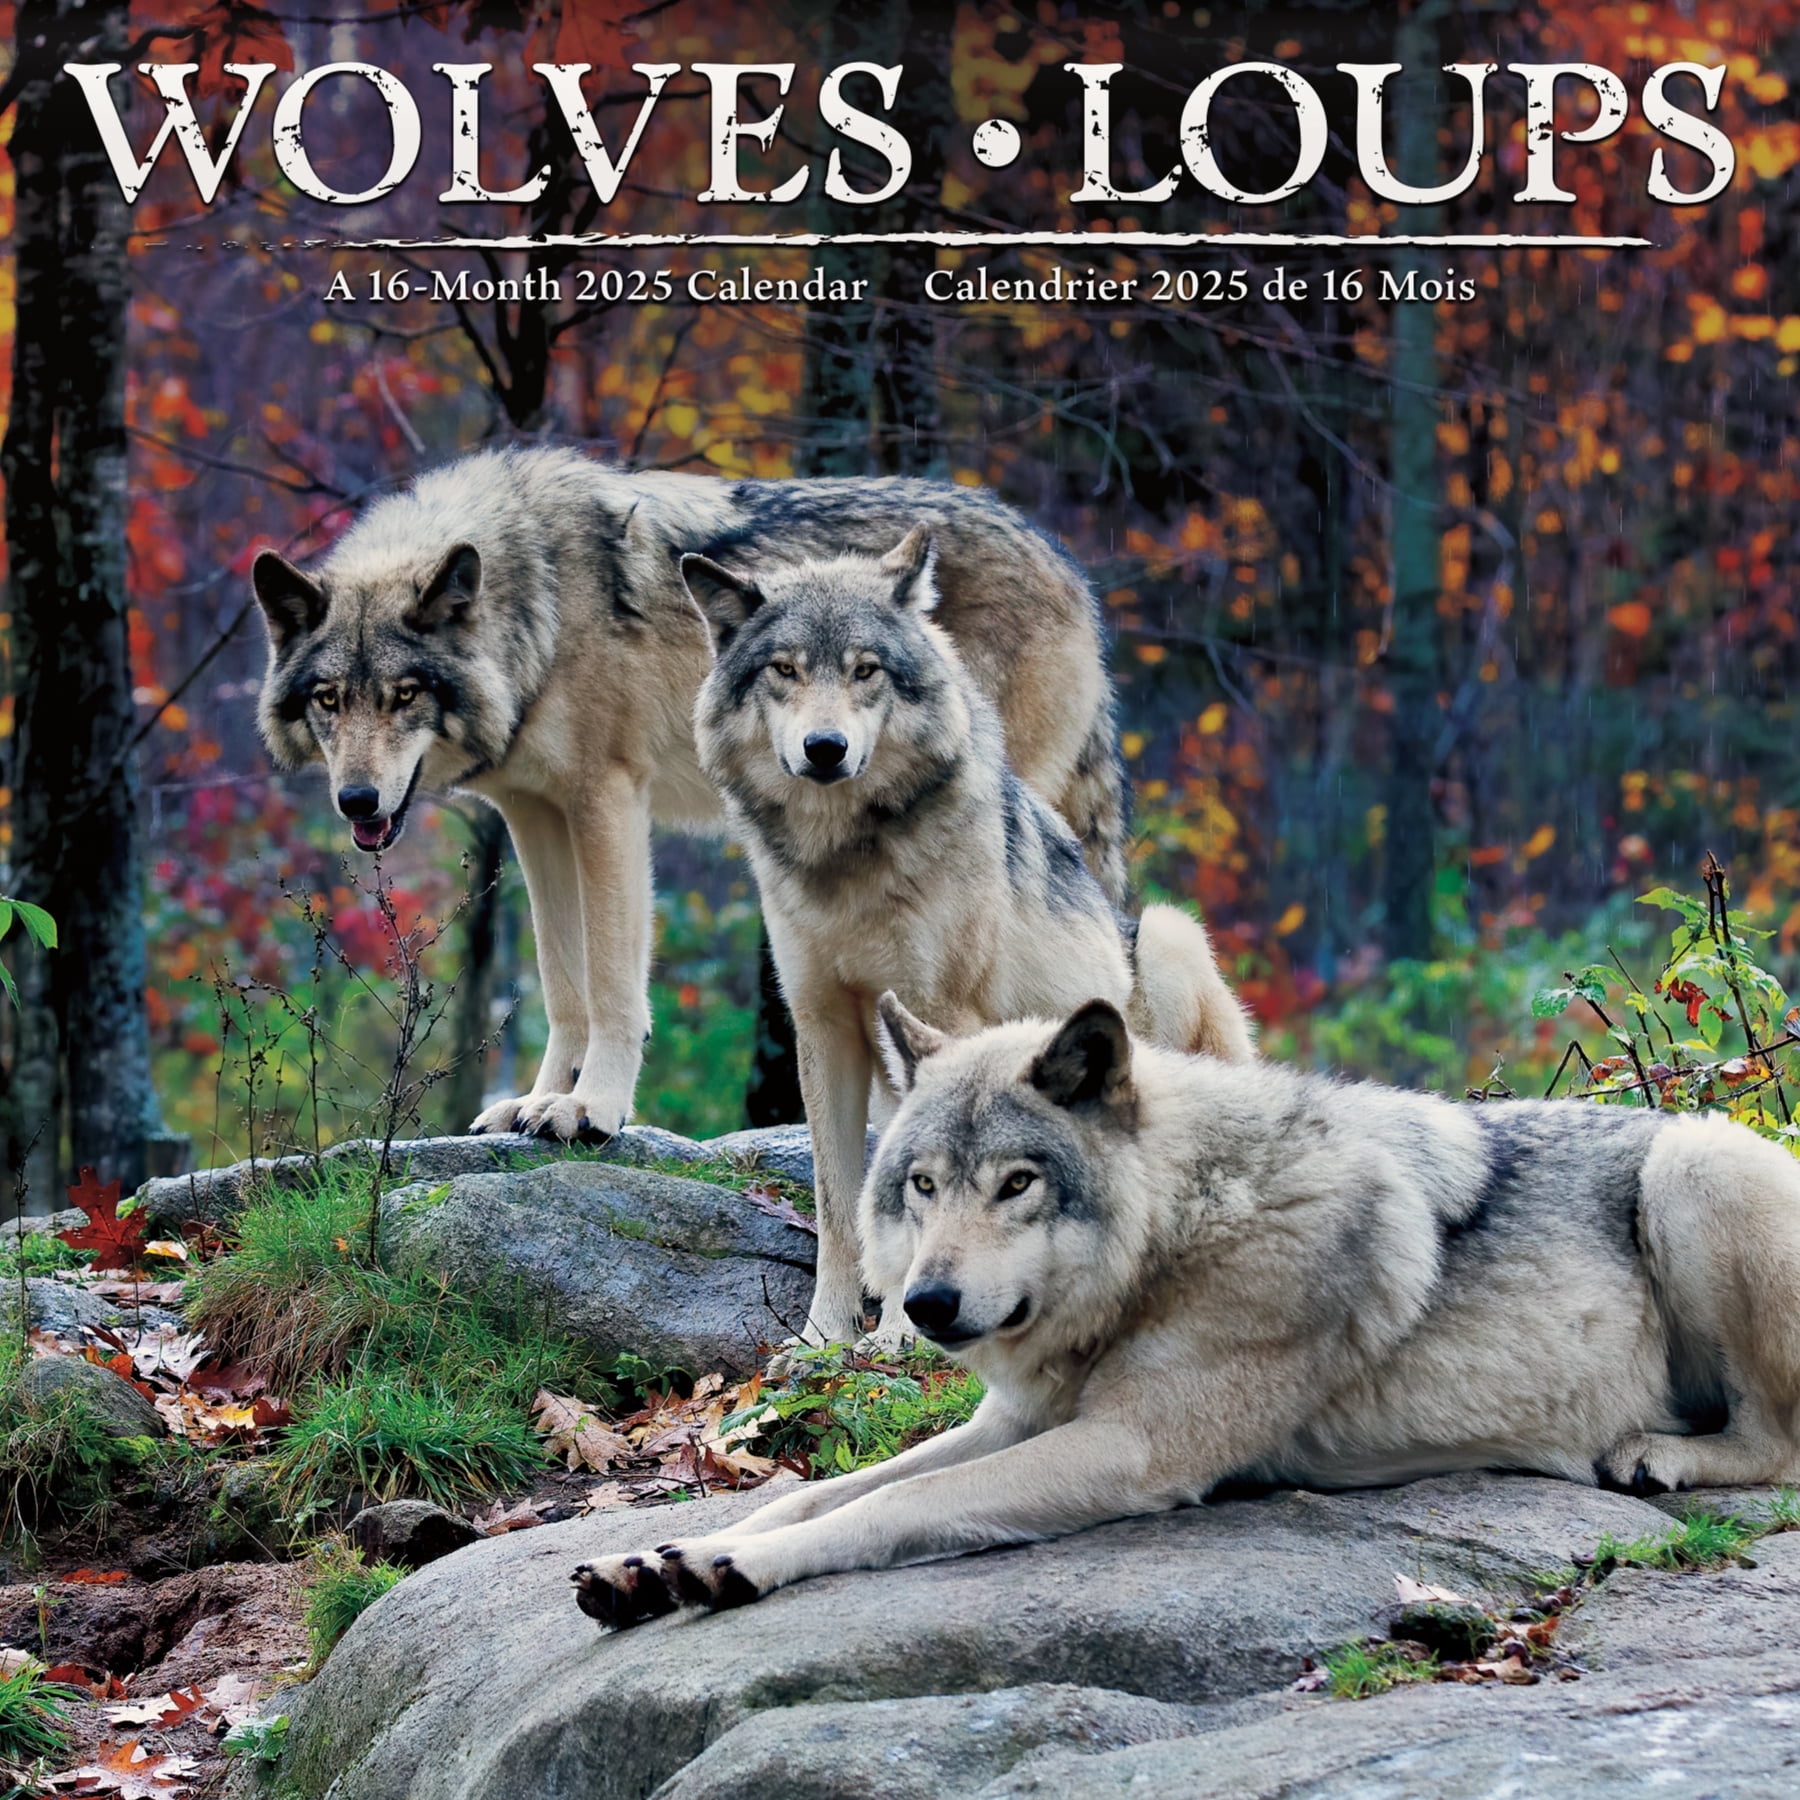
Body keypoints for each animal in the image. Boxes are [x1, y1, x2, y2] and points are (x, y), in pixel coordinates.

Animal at [251, 447, 1126, 1142]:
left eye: (403, 695)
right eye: (330, 700)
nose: (357, 801)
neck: (537, 604)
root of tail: (1069, 565)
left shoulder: (606, 800)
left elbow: (610, 983)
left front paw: (591, 1108)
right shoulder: (535, 813)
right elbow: (562, 982)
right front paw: (534, 1101)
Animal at [573, 996, 1800, 1625]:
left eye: (1016, 1183)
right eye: (921, 1184)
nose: (924, 1303)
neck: (1188, 1221)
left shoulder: (1126, 1448)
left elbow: (882, 1510)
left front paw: (738, 1570)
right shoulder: (1015, 1421)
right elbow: (815, 1492)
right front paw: (667, 1559)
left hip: (1693, 1170)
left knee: (1774, 1445)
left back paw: (1655, 1457)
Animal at [685, 525, 1253, 1344]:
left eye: (865, 670)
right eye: (784, 670)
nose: (825, 748)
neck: (846, 861)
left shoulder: (940, 1011)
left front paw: (895, 1337)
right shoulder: (820, 1024)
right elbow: (839, 1204)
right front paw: (826, 1338)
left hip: (1170, 936)